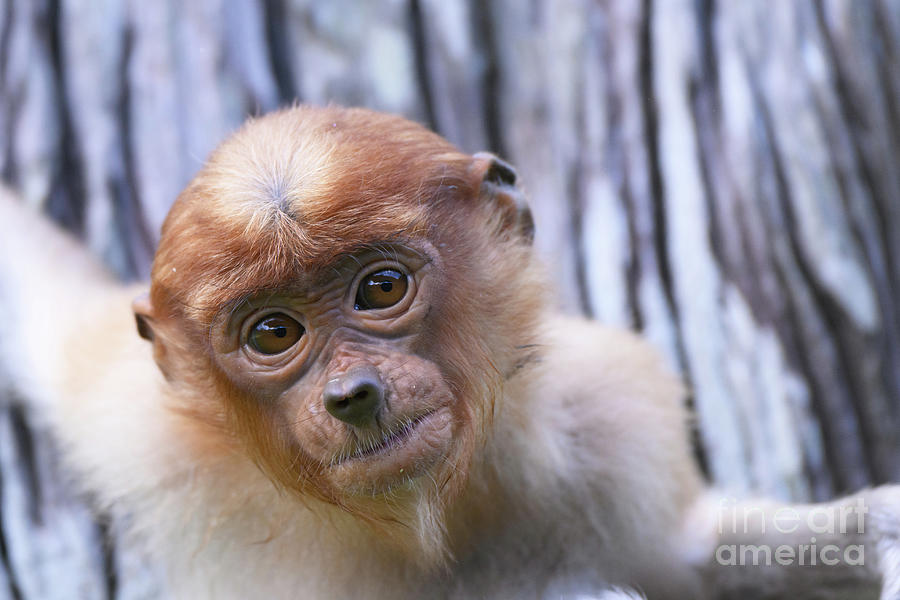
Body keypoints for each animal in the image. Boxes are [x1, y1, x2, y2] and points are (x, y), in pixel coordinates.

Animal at [0, 105, 897, 599]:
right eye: (273, 334)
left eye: (381, 288)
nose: (353, 394)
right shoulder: (142, 427)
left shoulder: (608, 420)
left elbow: (689, 557)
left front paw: (876, 534)